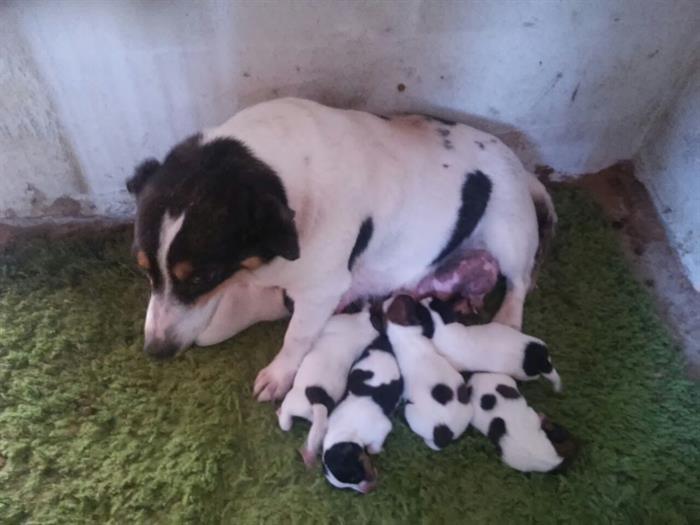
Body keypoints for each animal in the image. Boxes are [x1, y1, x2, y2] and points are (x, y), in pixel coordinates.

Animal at [276, 310, 380, 464]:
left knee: (285, 422)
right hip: (316, 420)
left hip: (292, 402)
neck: (365, 326)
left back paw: (280, 414)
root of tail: (318, 403)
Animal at [322, 334, 402, 494]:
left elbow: (373, 448)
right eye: (348, 487)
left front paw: (377, 450)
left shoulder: (382, 427)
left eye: (354, 476)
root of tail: (378, 344)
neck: (347, 430)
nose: (368, 490)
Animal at [426, 296, 564, 390]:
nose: (427, 297)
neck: (442, 325)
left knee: (534, 376)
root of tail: (541, 360)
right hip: (540, 344)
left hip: (523, 373)